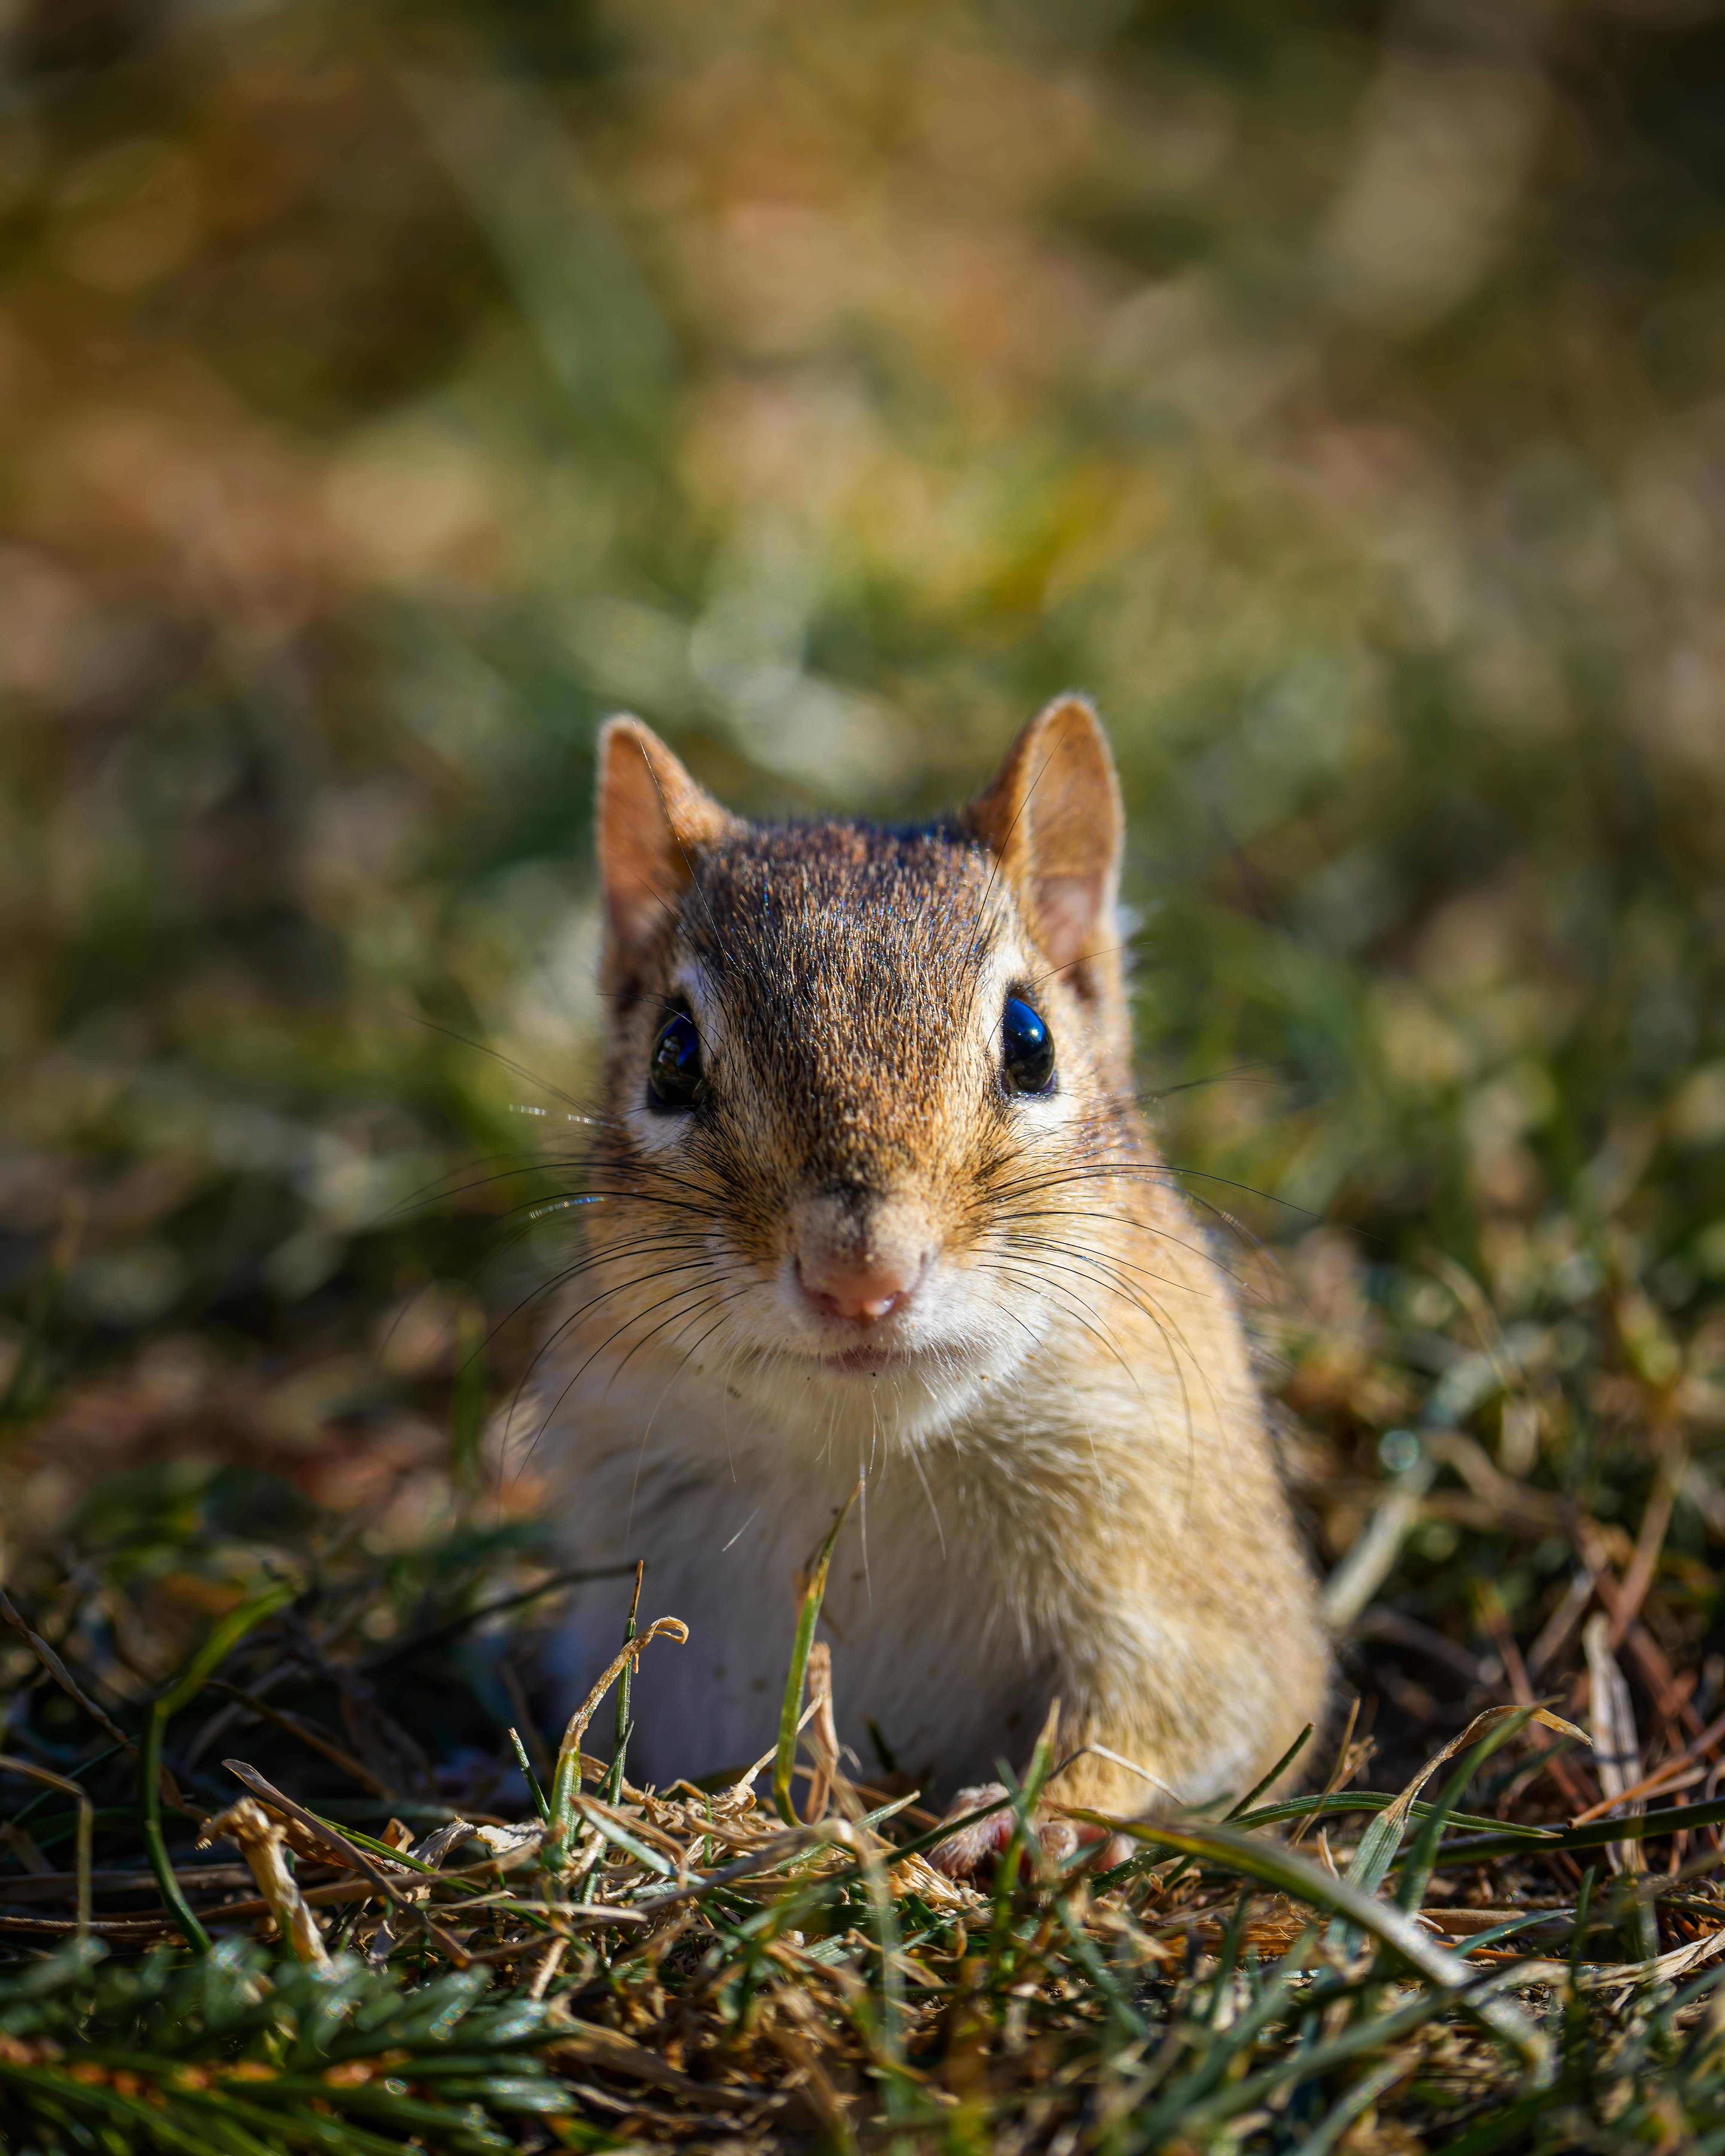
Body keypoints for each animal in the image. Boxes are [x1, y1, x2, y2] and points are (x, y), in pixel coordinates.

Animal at [526, 695, 1331, 1845]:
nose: (859, 1272)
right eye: (672, 1056)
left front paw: (1028, 1813)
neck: (868, 1456)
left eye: (1032, 1040)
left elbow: (1174, 1721)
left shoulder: (1193, 1589)